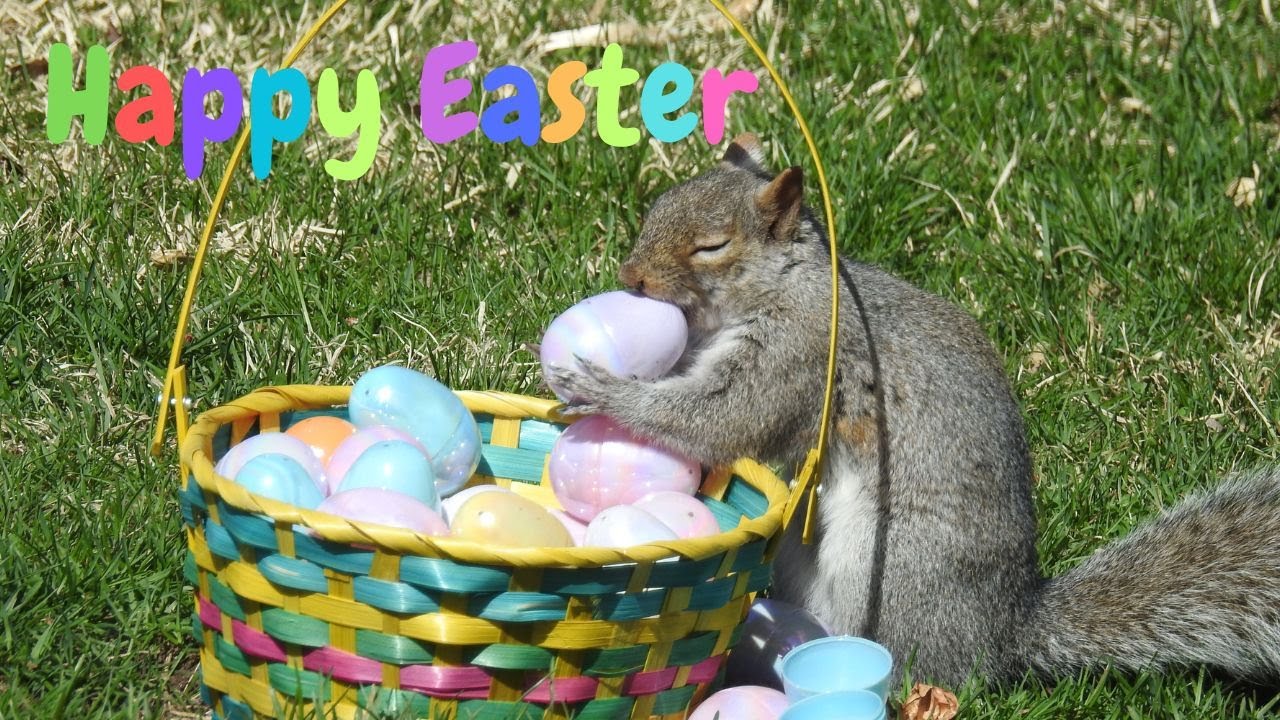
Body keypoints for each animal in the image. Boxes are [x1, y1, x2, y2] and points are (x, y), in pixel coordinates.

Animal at [547, 133, 1280, 687]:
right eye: (657, 206)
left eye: (712, 246)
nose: (630, 279)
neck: (787, 283)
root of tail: (1001, 635)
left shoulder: (801, 352)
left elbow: (725, 419)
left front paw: (600, 388)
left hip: (889, 568)